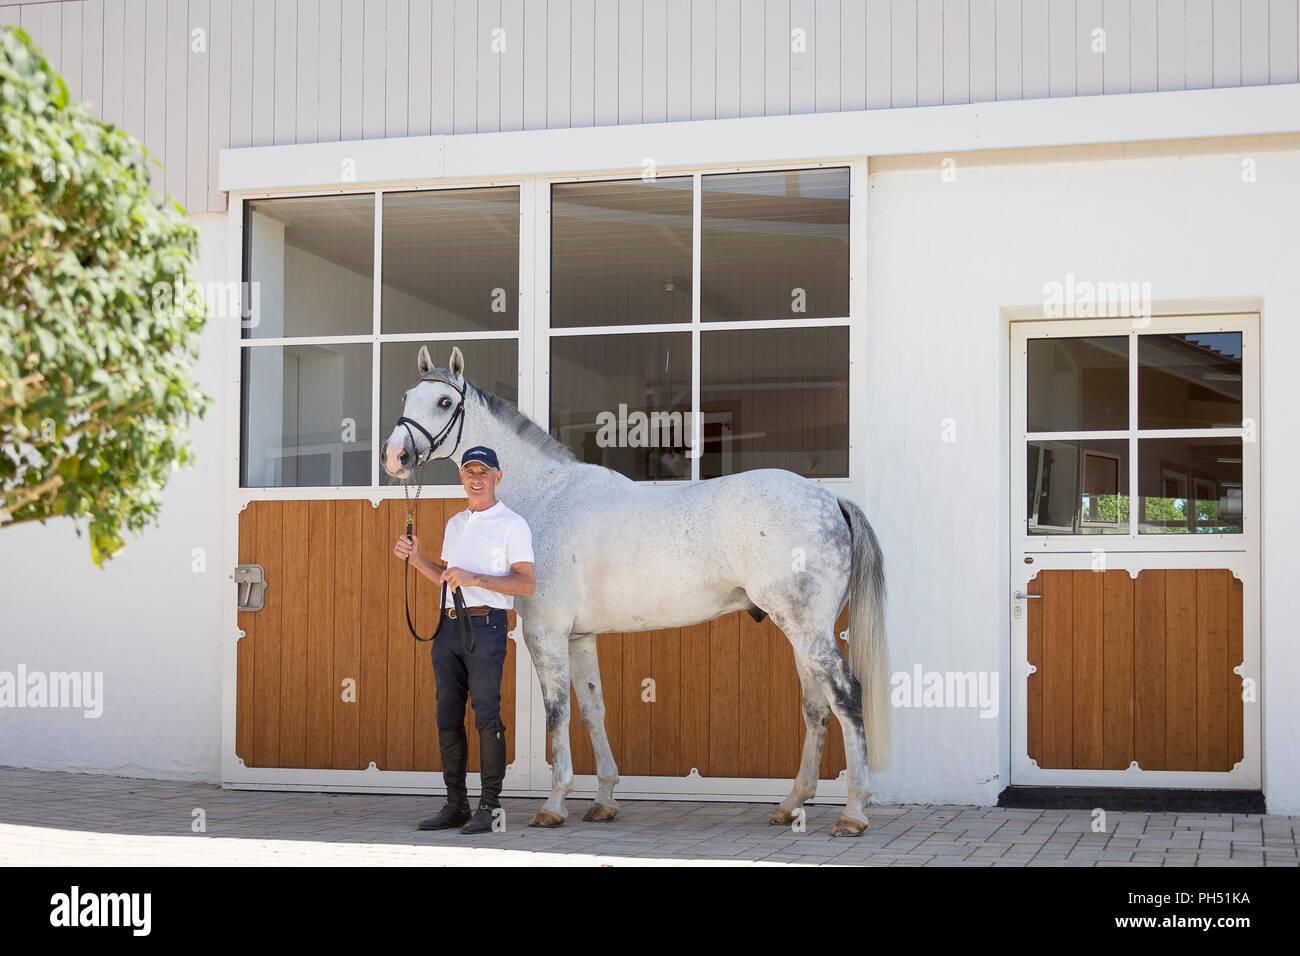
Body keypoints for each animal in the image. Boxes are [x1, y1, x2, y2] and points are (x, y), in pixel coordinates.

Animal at [381, 346, 890, 836]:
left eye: (443, 402)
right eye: (406, 396)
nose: (395, 456)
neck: (547, 497)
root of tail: (830, 498)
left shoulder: (545, 633)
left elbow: (557, 712)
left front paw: (553, 804)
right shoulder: (579, 637)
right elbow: (592, 709)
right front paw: (604, 800)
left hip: (807, 629)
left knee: (845, 695)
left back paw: (853, 812)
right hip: (804, 631)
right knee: (816, 707)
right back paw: (790, 805)